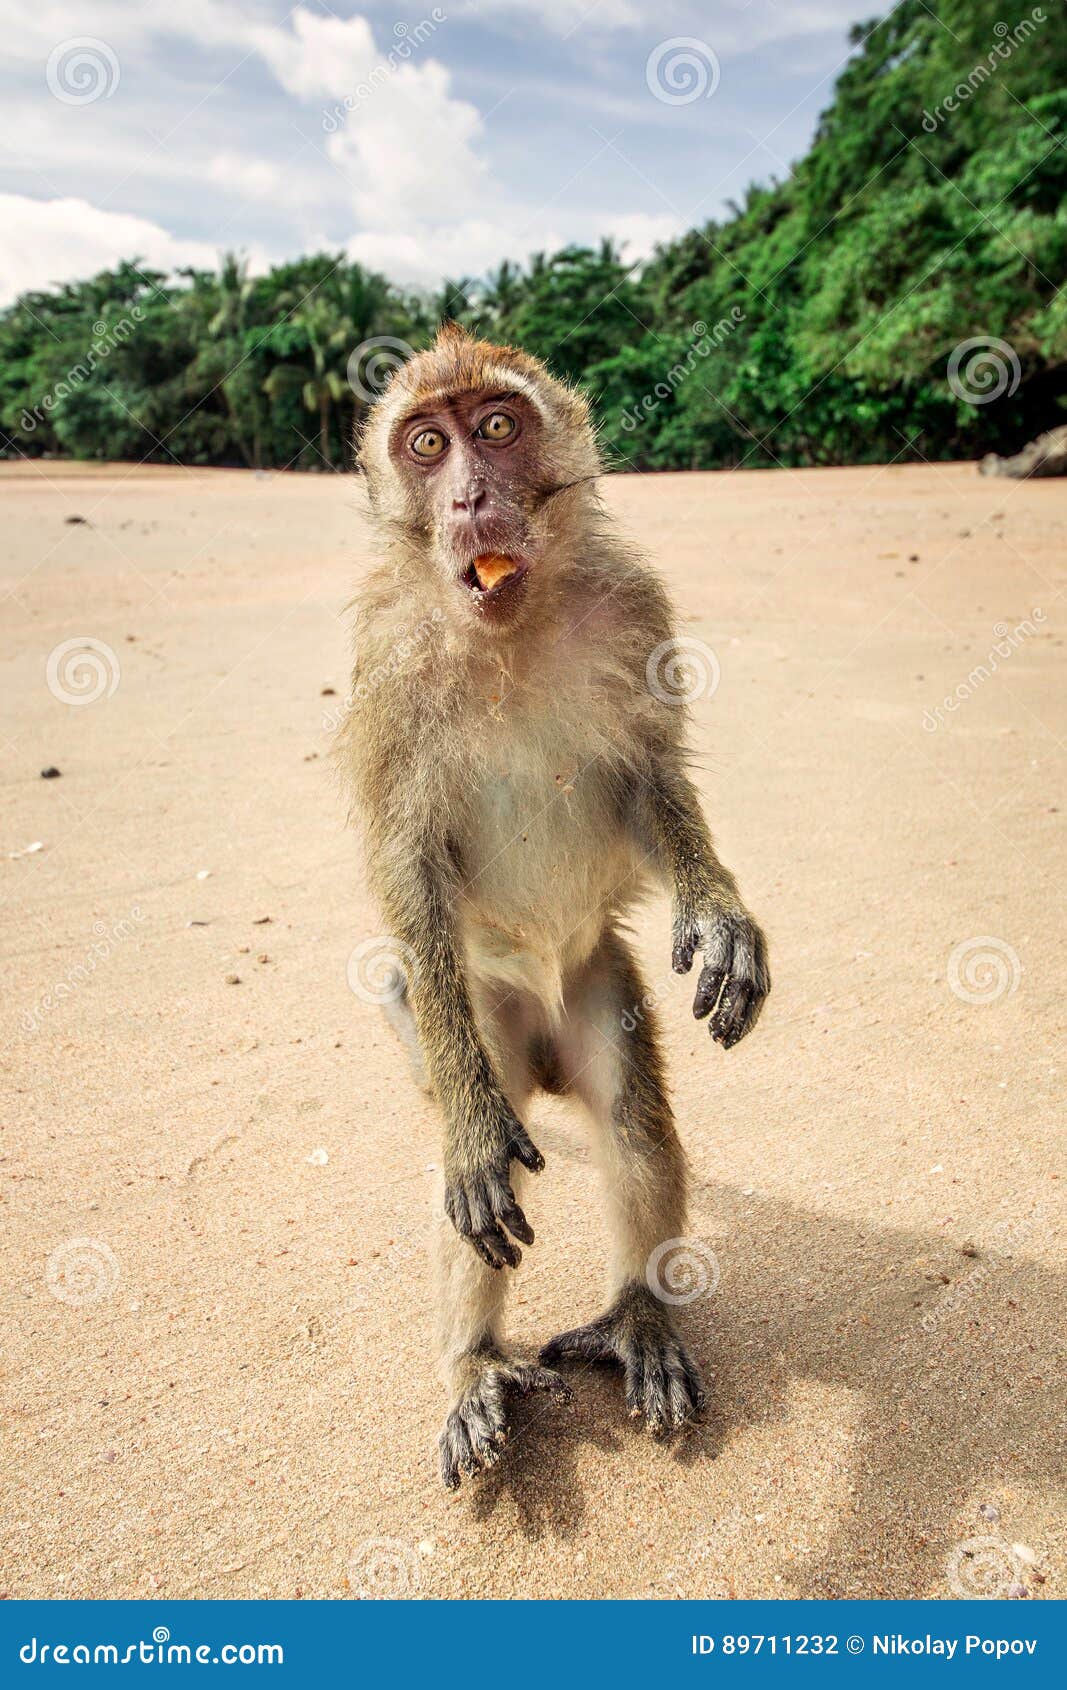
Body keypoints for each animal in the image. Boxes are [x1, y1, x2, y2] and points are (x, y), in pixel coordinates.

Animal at [339, 323, 770, 1489]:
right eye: (425, 443)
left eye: (496, 426)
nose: (467, 499)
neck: (507, 627)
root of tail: (532, 1057)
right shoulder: (386, 664)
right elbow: (408, 869)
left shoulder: (632, 606)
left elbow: (645, 779)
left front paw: (717, 911)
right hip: (484, 1018)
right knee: (473, 1170)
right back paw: (474, 1364)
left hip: (592, 984)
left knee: (631, 1123)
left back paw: (637, 1318)